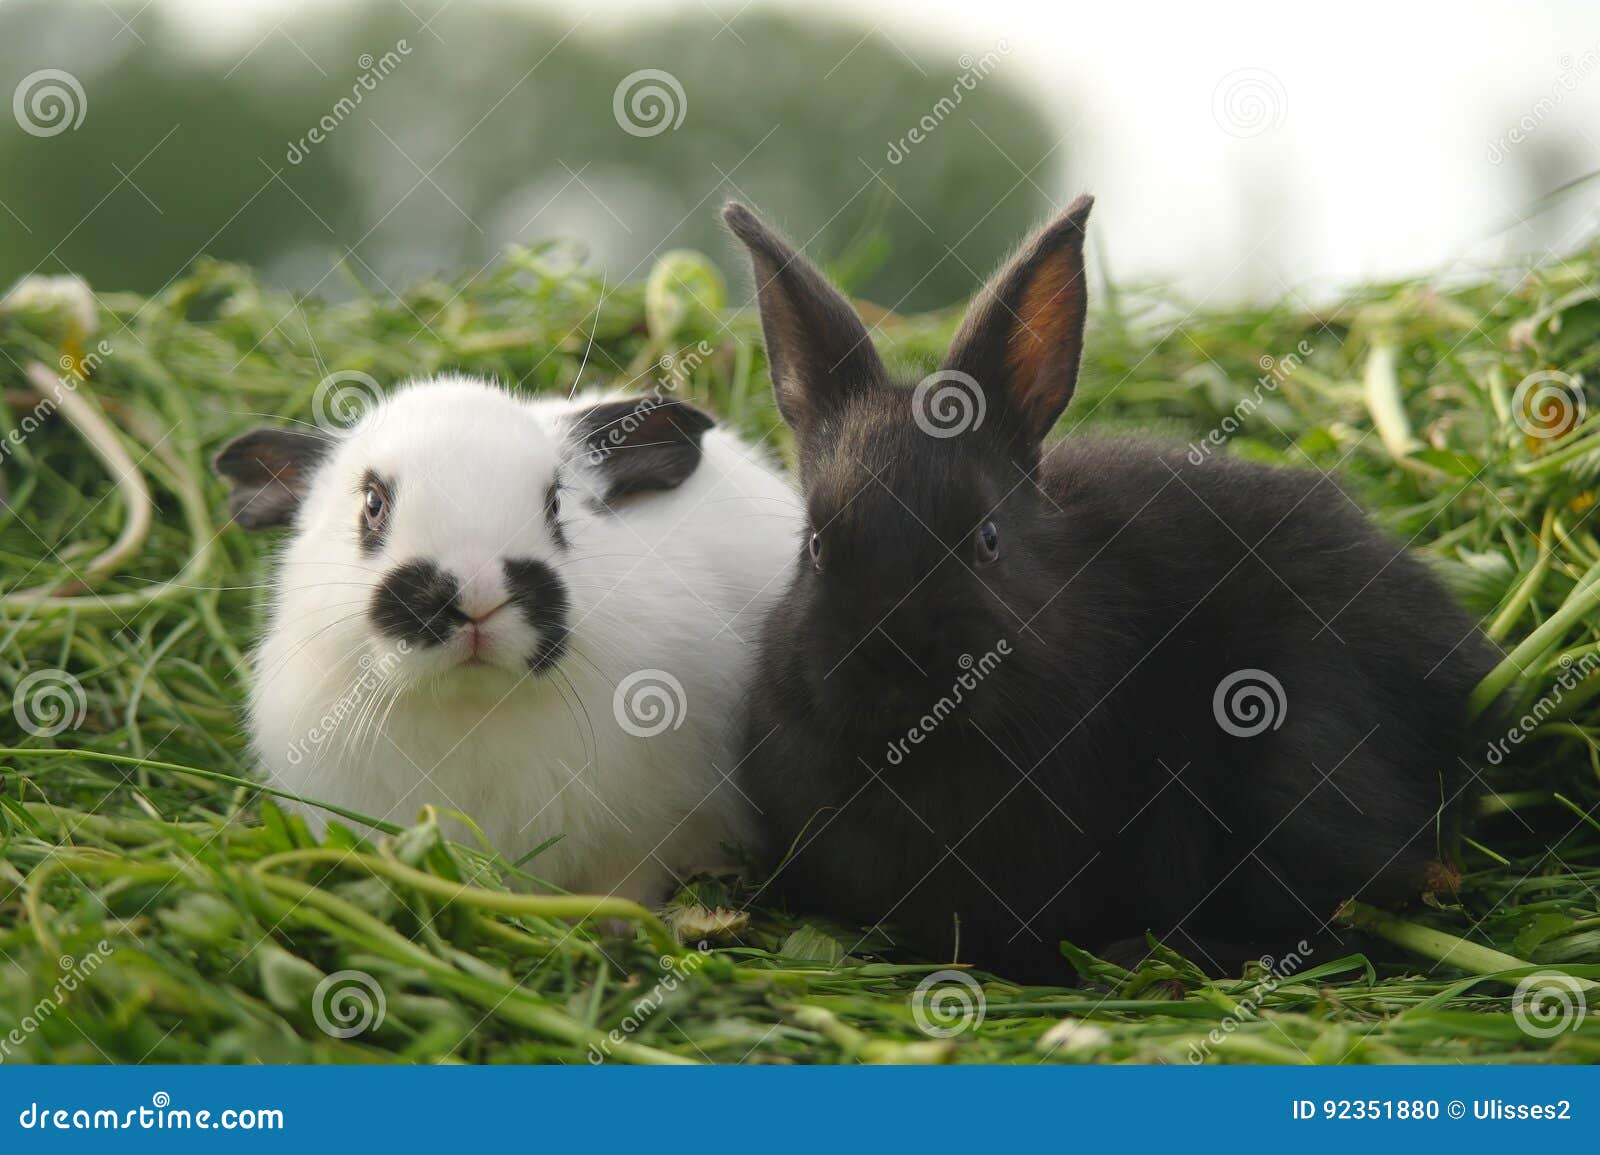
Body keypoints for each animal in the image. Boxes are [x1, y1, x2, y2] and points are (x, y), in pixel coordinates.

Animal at [214, 376, 801, 903]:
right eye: (373, 505)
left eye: (556, 505)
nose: (475, 593)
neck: (473, 710)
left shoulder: (644, 842)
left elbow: (625, 887)